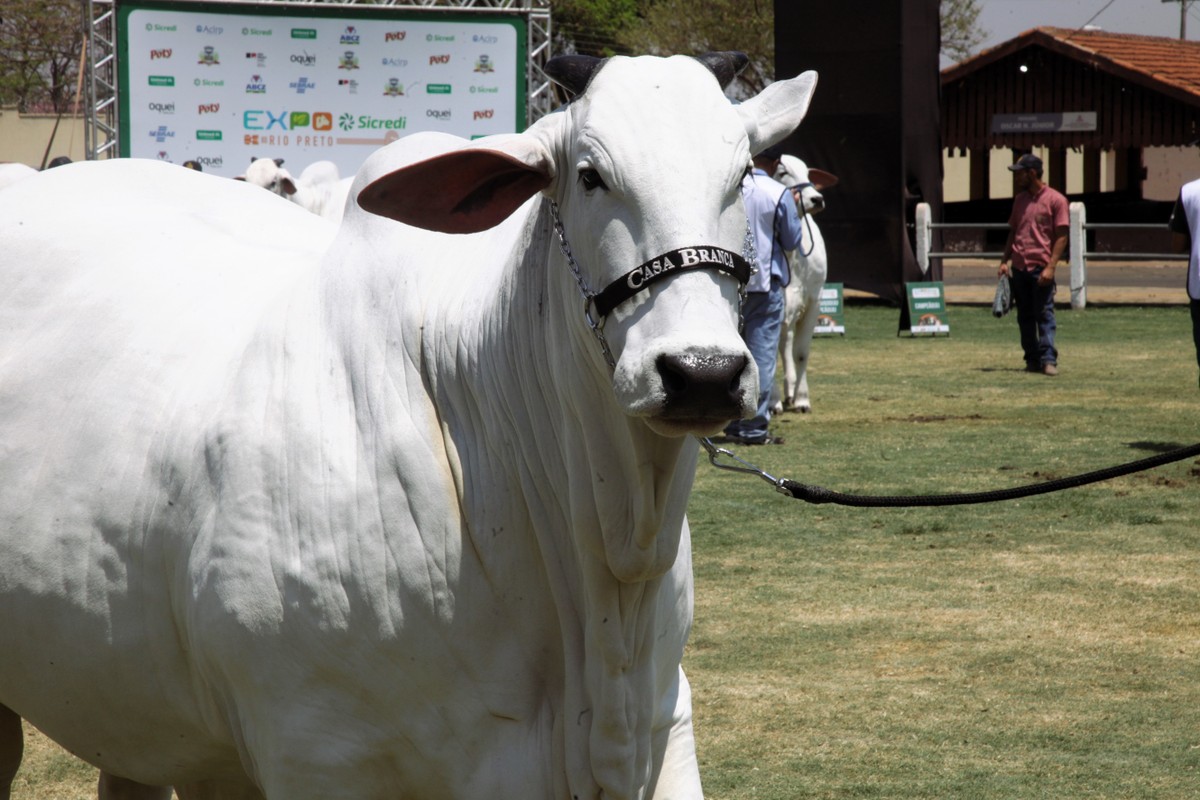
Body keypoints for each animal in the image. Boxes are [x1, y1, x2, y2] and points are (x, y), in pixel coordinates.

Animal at [771, 154, 838, 414]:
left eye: (808, 174)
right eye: (782, 172)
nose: (816, 199)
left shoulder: (813, 301)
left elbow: (800, 353)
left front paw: (801, 399)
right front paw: (772, 403)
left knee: (787, 346)